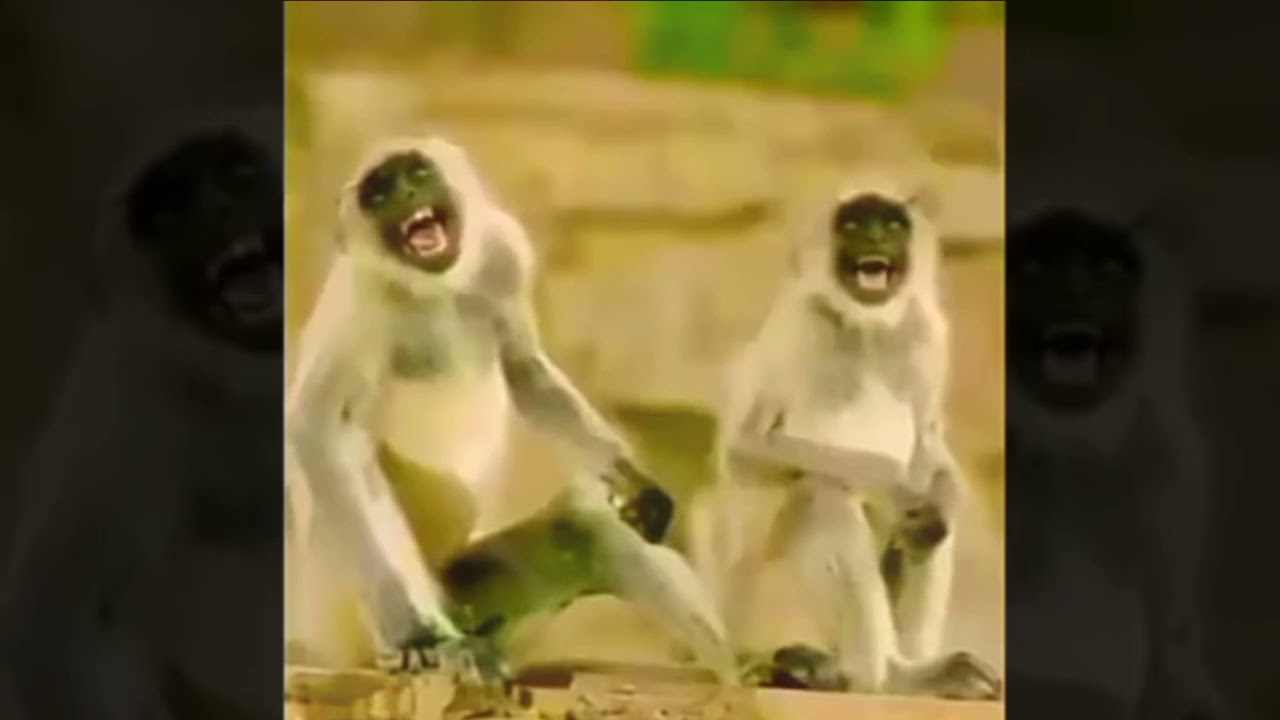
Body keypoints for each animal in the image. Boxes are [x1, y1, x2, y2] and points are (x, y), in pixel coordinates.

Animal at [285, 136, 737, 695]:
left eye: (416, 173)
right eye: (379, 191)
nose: (406, 193)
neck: (438, 290)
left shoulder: (504, 254)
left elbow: (525, 369)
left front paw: (639, 488)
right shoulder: (358, 300)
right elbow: (315, 426)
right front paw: (411, 635)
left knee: (590, 527)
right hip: (337, 615)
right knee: (352, 457)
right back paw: (429, 641)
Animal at [690, 168, 1002, 700]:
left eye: (891, 224)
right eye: (854, 224)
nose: (874, 238)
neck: (868, 329)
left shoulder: (926, 333)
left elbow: (930, 444)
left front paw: (936, 494)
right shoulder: (803, 326)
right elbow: (747, 450)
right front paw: (896, 488)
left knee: (929, 526)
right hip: (754, 597)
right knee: (822, 491)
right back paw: (873, 675)